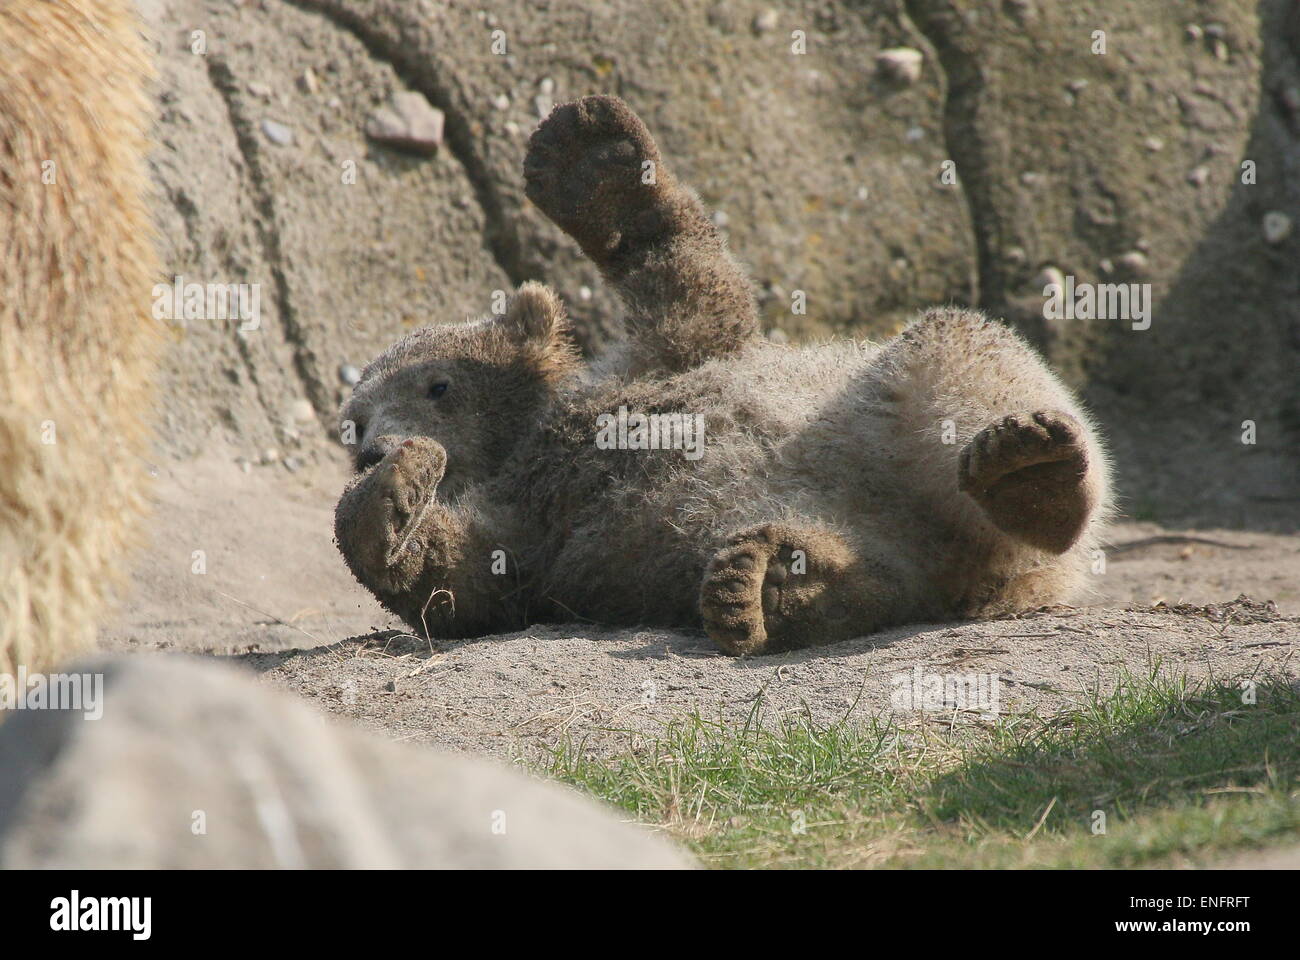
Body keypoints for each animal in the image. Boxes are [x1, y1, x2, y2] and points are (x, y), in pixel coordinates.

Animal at [334, 95, 1112, 656]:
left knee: (956, 351)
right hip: (889, 537)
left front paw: (593, 159)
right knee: (875, 570)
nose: (375, 449)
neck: (530, 441)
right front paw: (388, 500)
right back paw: (771, 583)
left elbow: (692, 290)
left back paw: (1028, 469)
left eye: (438, 385)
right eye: (353, 425)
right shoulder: (535, 521)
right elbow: (467, 583)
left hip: (886, 413)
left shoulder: (657, 364)